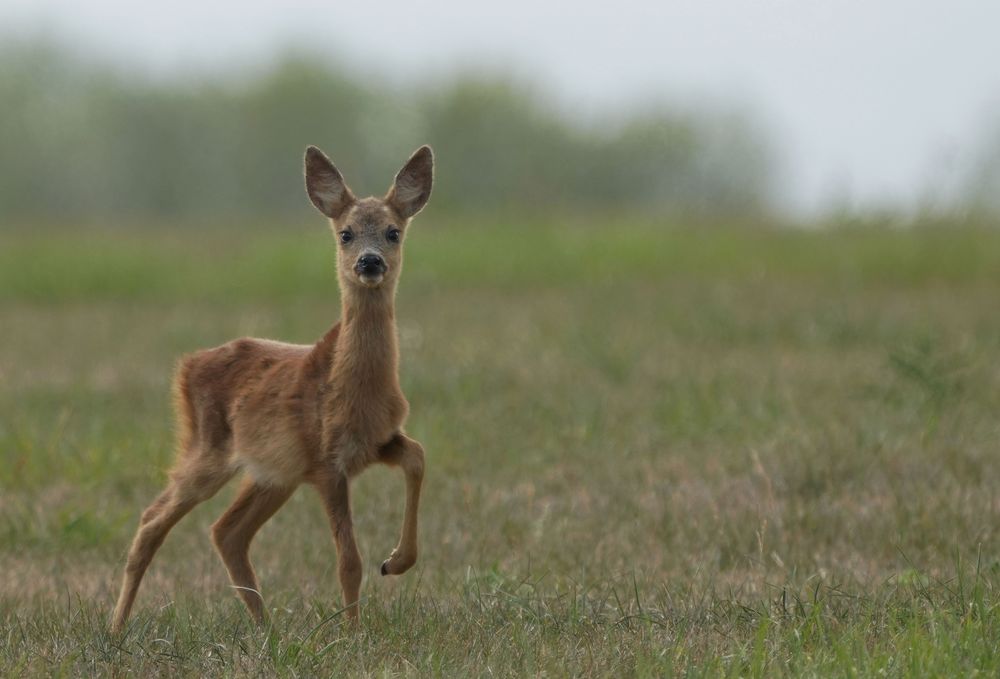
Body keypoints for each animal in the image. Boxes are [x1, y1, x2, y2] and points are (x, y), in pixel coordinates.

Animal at [111, 145, 433, 634]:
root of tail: (187, 366)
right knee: (153, 520)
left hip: (273, 472)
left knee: (226, 531)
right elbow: (349, 560)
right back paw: (116, 627)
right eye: (345, 234)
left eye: (393, 232)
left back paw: (266, 627)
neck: (355, 388)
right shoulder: (325, 461)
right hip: (209, 449)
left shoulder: (376, 441)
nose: (369, 262)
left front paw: (395, 562)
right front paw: (353, 633)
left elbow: (417, 456)